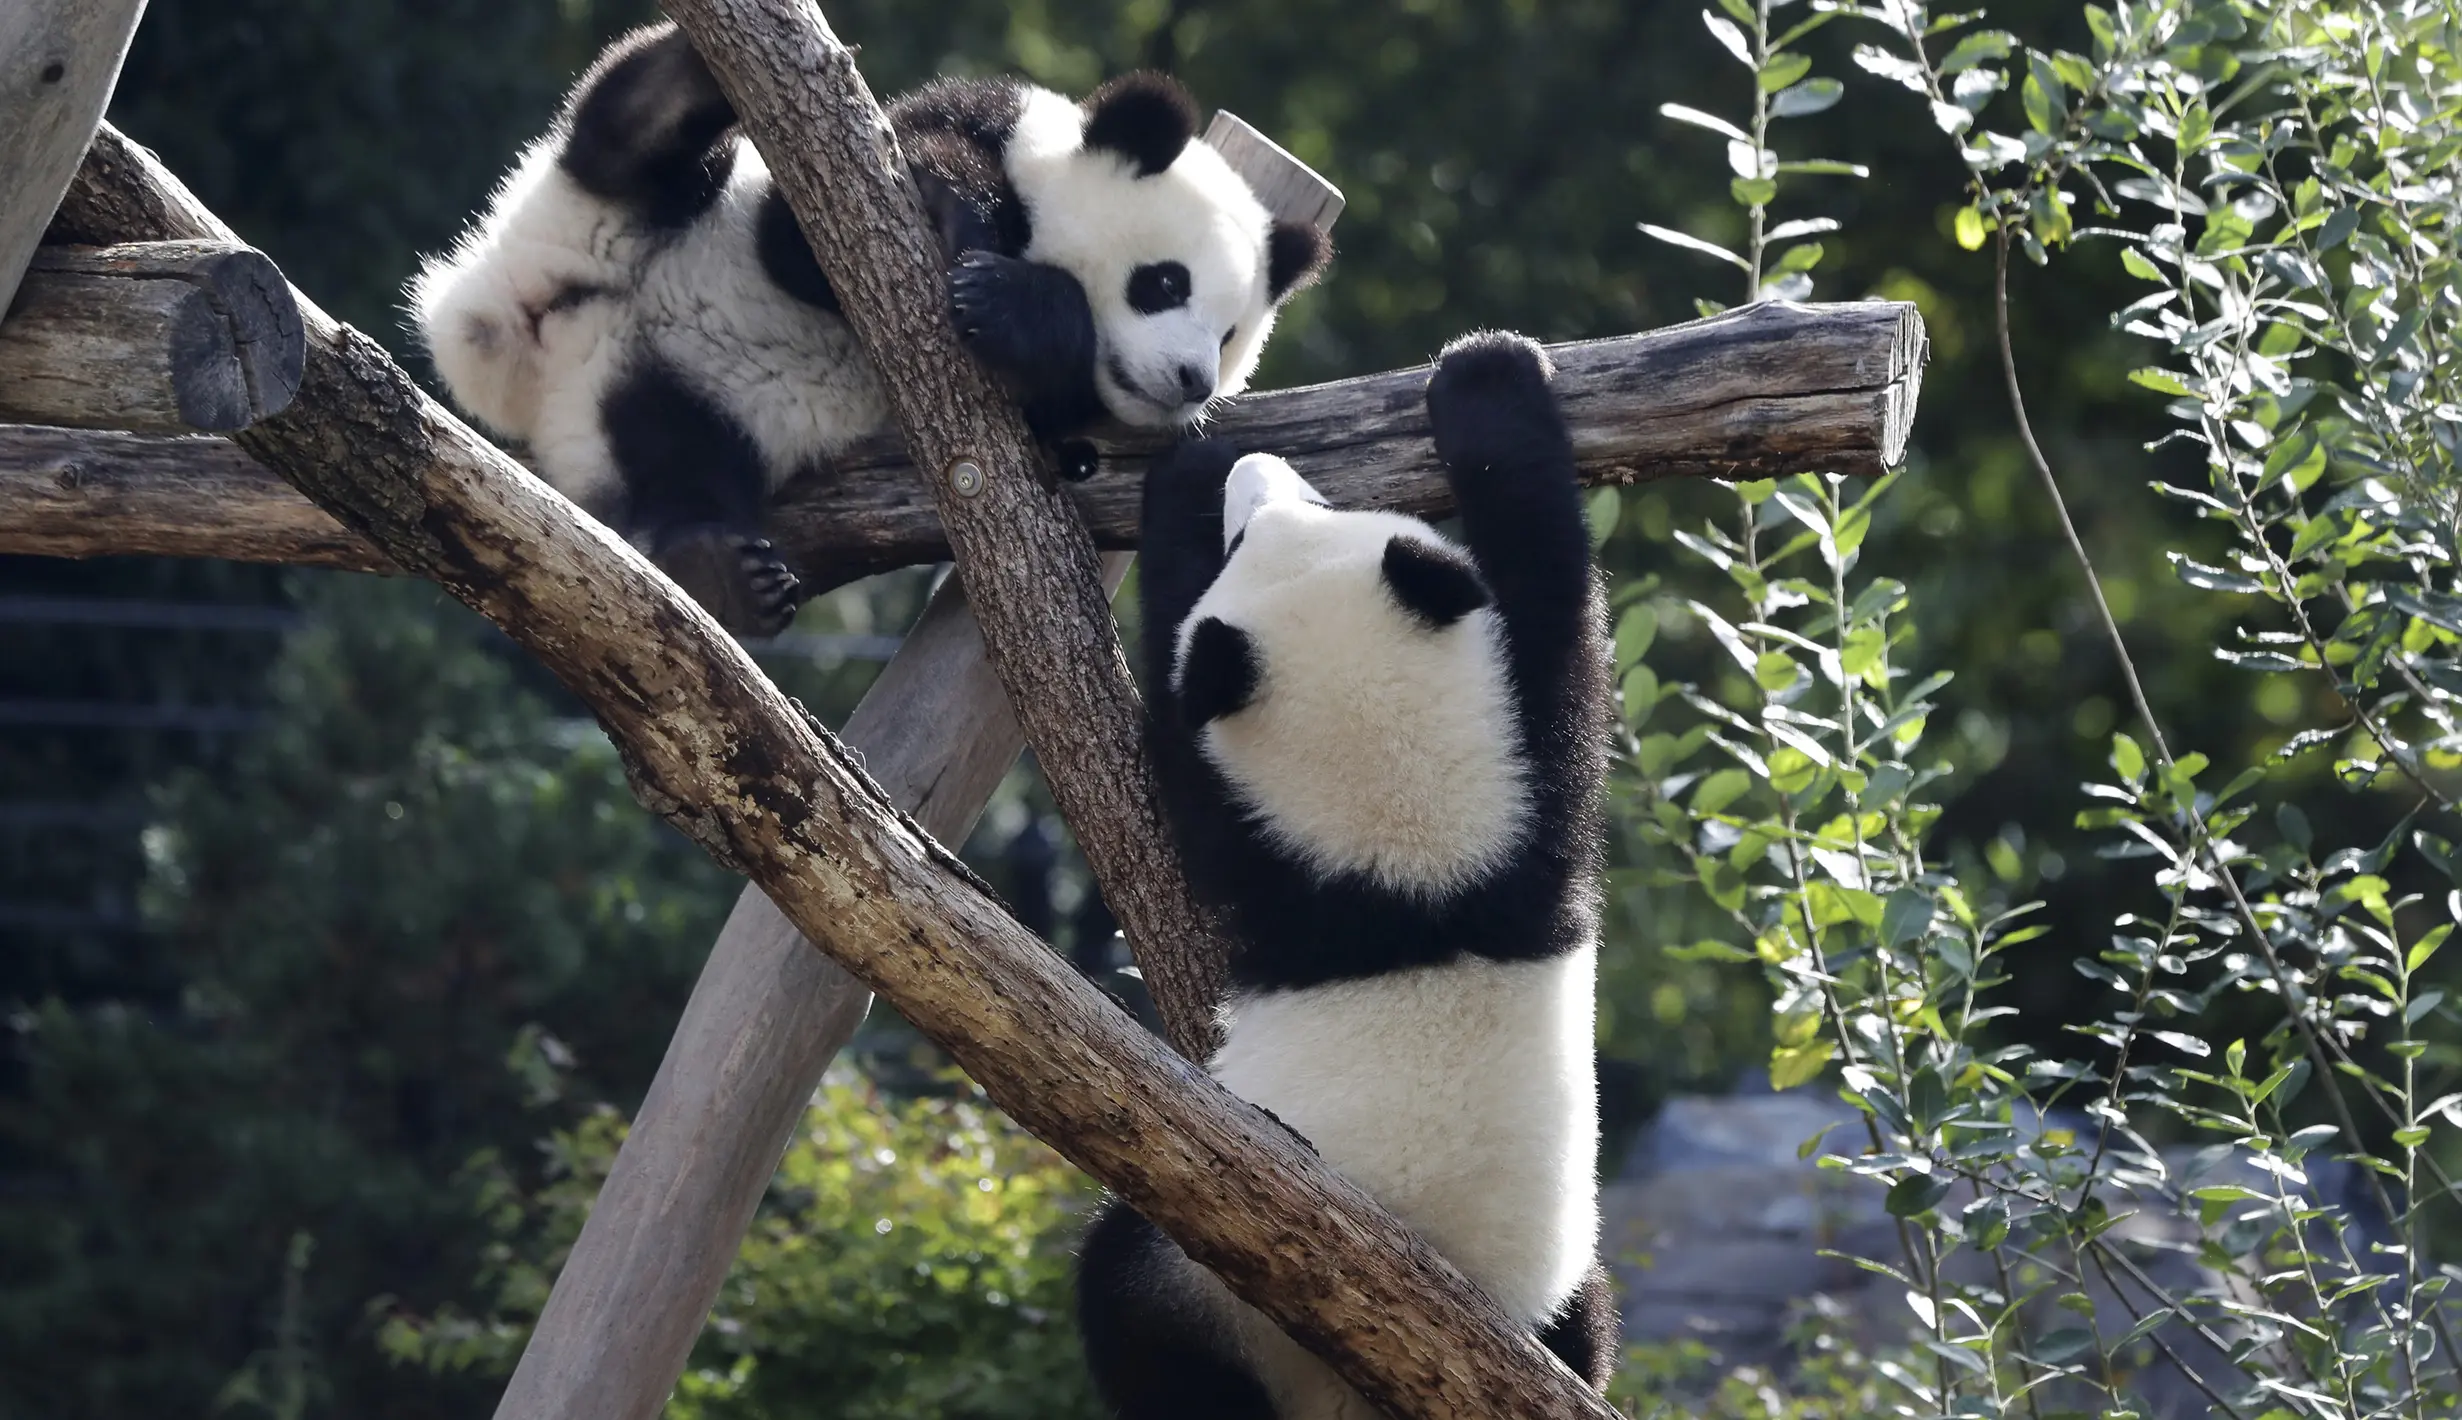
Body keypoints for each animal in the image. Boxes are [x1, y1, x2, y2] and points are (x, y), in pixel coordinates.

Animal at [411, 21, 1332, 634]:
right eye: (1165, 283)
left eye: (1230, 336)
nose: (1192, 382)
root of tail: (523, 333)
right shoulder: (935, 134)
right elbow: (799, 242)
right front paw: (958, 214)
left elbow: (1050, 412)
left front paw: (1016, 310)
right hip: (613, 209)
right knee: (629, 143)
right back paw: (686, 73)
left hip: (664, 401)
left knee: (680, 467)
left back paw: (721, 571)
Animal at [1077, 330, 1618, 1418]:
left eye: (1257, 533)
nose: (1254, 470)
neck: (1409, 849)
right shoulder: (1540, 792)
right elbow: (1554, 596)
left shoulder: (1255, 846)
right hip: (1550, 1290)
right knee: (1586, 1317)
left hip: (1209, 1274)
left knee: (1119, 1290)